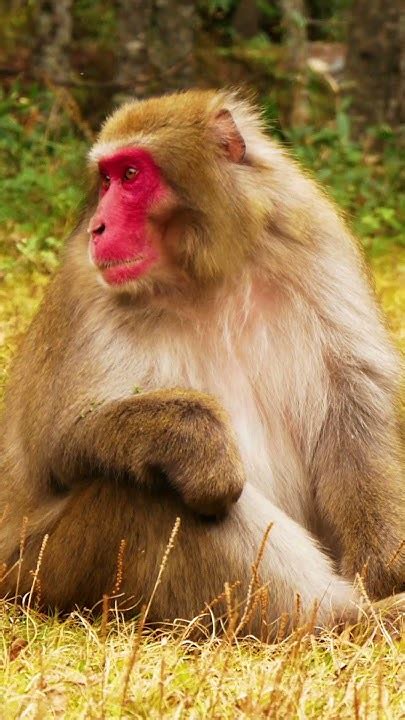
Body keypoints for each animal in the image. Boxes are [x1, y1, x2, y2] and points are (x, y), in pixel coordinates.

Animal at [0, 89, 403, 637]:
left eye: (130, 175)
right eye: (105, 179)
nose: (98, 227)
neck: (204, 273)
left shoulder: (307, 236)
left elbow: (354, 396)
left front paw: (385, 566)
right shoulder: (86, 288)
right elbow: (58, 443)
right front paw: (197, 438)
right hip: (45, 572)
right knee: (151, 494)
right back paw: (343, 621)